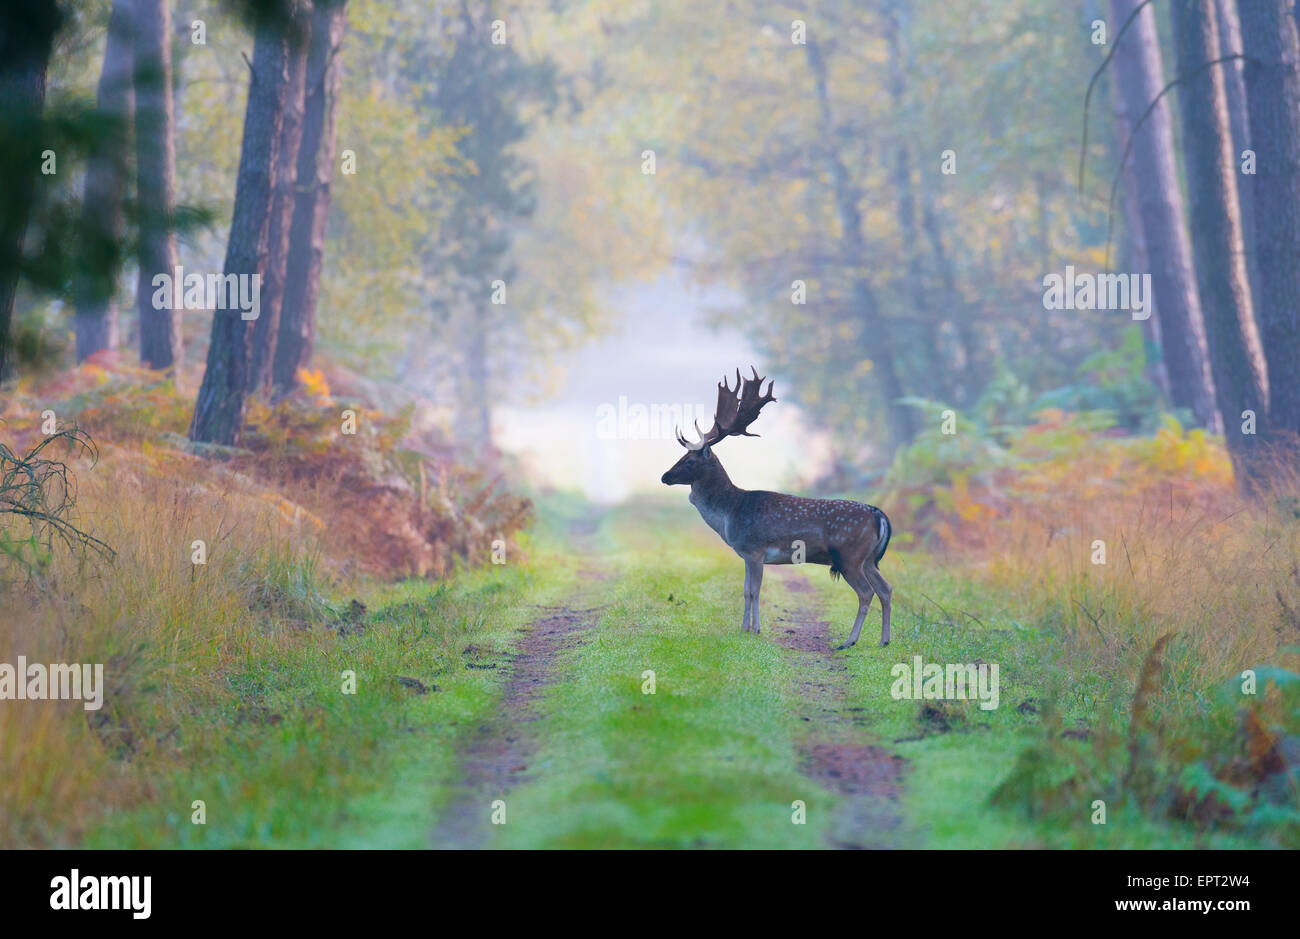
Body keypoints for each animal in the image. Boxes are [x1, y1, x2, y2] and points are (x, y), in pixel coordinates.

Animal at [660, 367, 893, 649]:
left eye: (689, 460)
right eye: (682, 456)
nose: (664, 476)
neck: (729, 513)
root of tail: (878, 514)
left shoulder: (755, 549)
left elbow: (754, 591)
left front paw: (756, 629)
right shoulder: (746, 554)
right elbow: (745, 591)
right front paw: (743, 628)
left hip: (849, 555)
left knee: (866, 592)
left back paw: (849, 641)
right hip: (869, 559)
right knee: (886, 588)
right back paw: (883, 641)